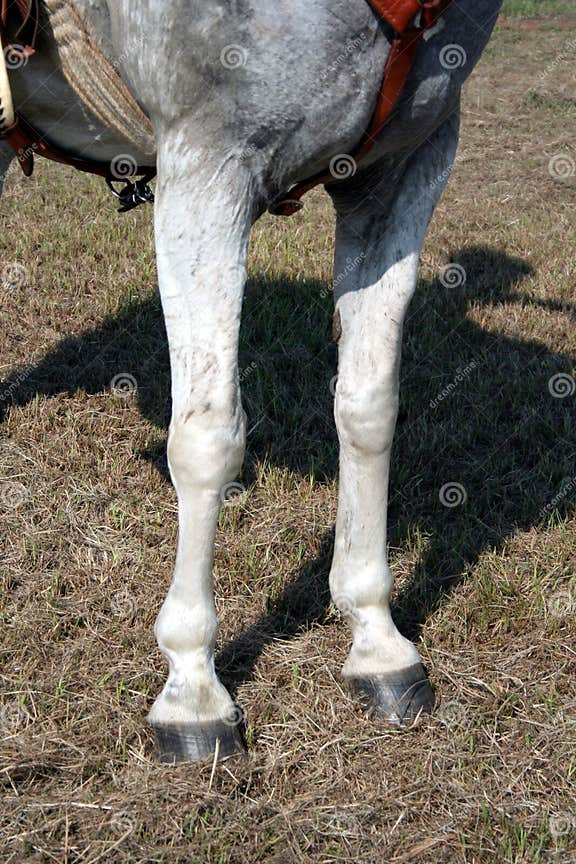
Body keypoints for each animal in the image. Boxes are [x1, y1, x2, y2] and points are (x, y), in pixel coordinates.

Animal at [0, 0, 504, 762]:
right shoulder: (207, 168)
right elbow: (207, 440)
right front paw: (192, 690)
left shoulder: (400, 169)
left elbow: (368, 408)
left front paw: (377, 640)